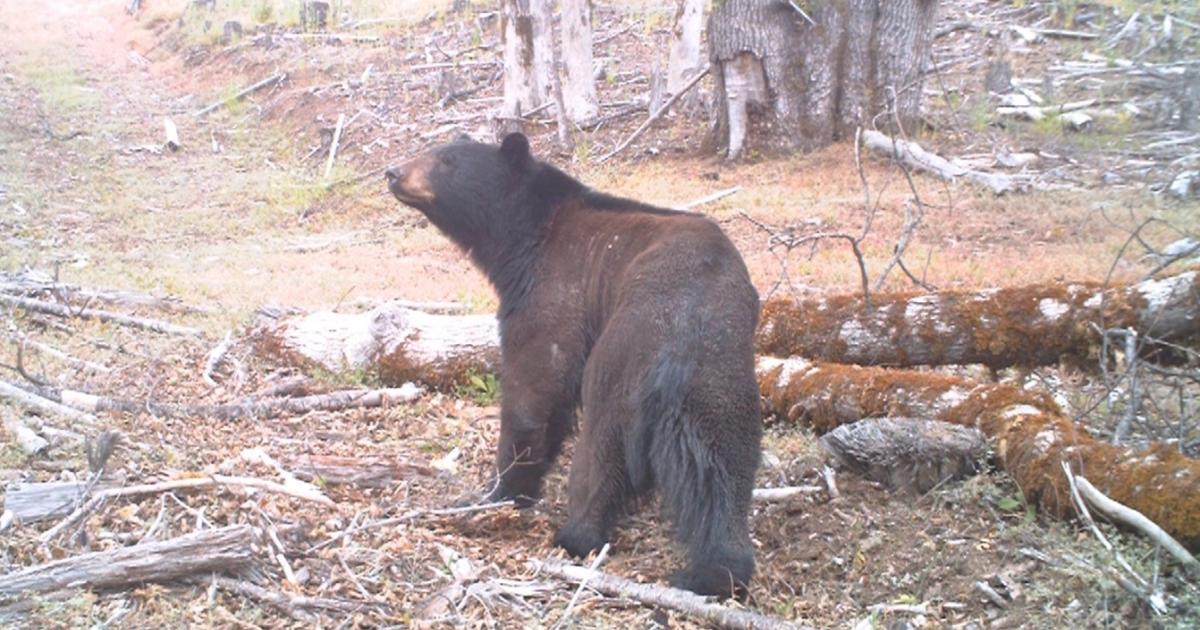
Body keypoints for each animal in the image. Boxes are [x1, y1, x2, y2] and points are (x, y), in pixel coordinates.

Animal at [386, 133, 762, 599]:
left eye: (447, 161)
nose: (393, 172)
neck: (525, 235)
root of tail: (683, 323)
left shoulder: (554, 290)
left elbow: (536, 385)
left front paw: (500, 491)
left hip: (621, 358)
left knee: (602, 445)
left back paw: (577, 534)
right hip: (720, 373)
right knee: (723, 463)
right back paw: (717, 569)